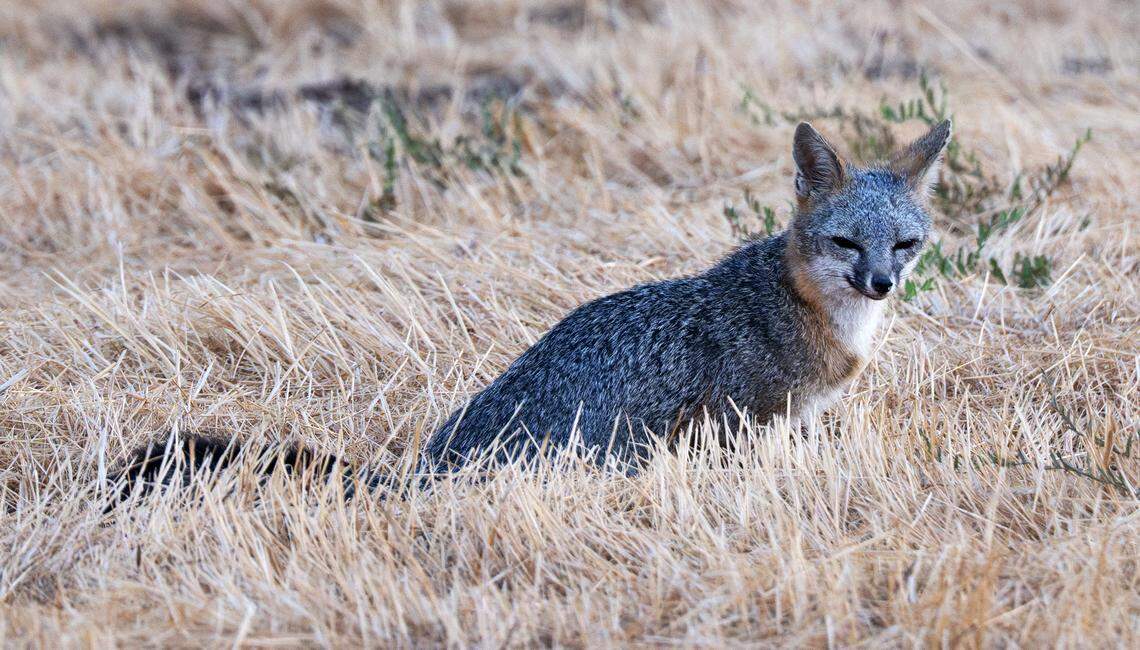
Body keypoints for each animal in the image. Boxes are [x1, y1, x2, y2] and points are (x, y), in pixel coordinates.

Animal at [109, 119, 950, 501]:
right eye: (846, 242)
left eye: (904, 245)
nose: (881, 283)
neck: (805, 308)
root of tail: (432, 468)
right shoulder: (740, 420)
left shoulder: (793, 420)